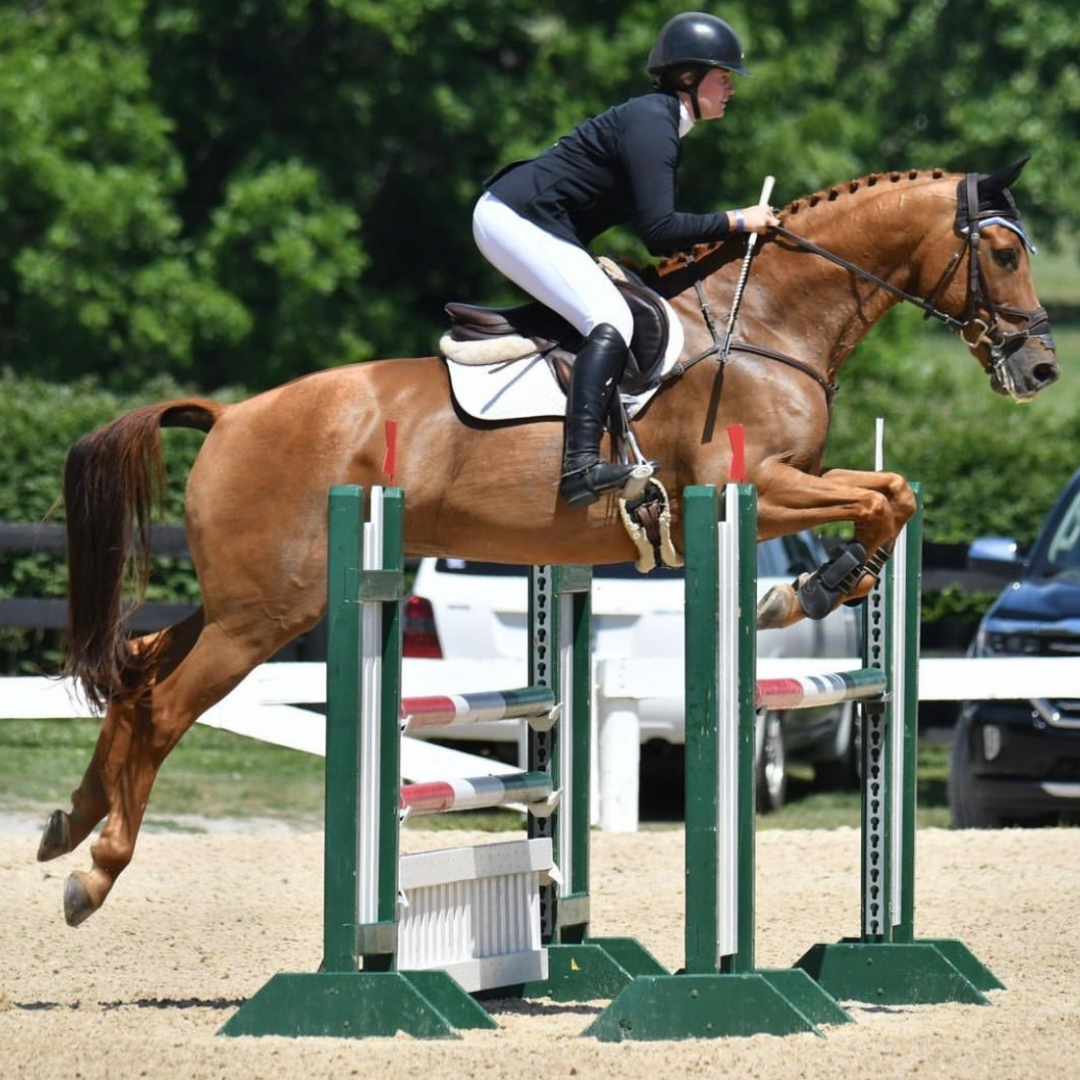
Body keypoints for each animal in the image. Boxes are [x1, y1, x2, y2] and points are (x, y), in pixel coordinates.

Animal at [38, 159, 1058, 926]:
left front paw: (812, 588)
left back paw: (69, 821)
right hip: (266, 613)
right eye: (1005, 251)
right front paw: (801, 592)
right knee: (165, 708)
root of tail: (228, 416)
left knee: (137, 665)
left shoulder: (787, 486)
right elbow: (884, 498)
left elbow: (893, 494)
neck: (767, 323)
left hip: (254, 598)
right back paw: (96, 871)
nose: (1041, 367)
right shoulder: (756, 490)